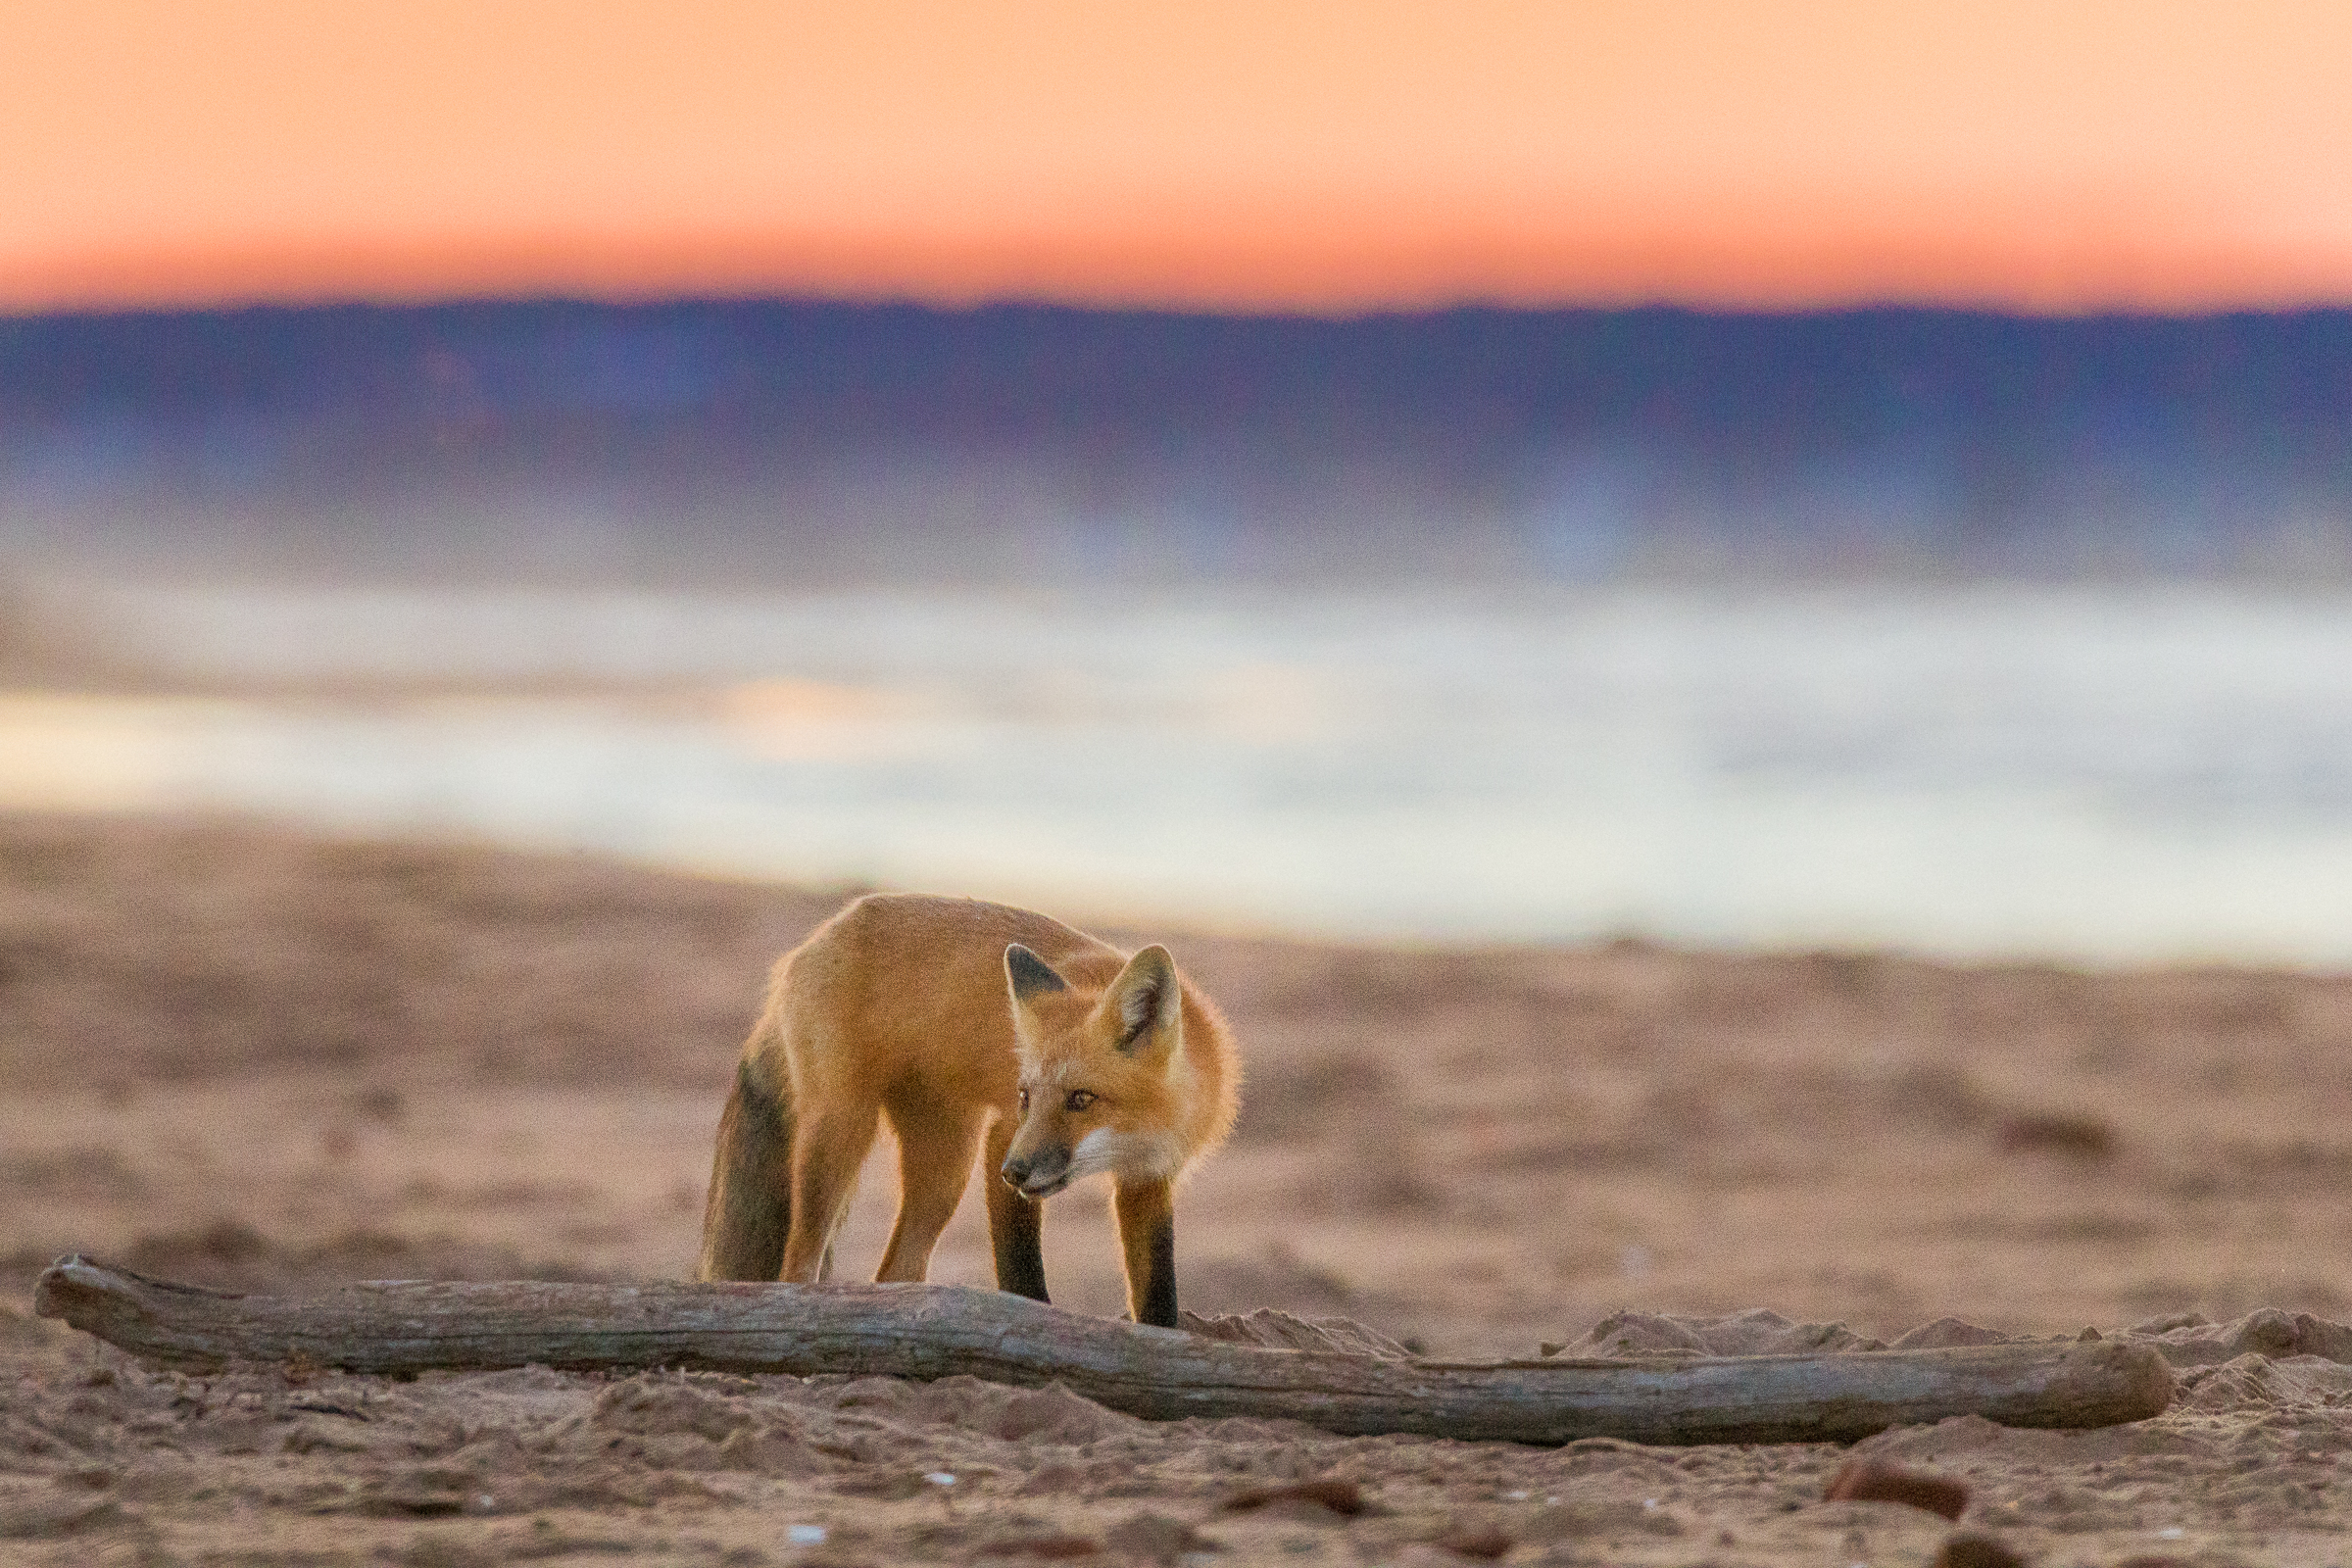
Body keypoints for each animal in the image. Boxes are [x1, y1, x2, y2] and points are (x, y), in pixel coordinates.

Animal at [696, 892, 1240, 1328]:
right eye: (1026, 1095)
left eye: (1082, 1098)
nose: (1015, 1172)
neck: (1147, 1131)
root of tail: (814, 939)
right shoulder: (1004, 1135)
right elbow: (1023, 1276)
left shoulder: (1148, 1179)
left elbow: (1159, 1293)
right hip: (842, 1135)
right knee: (797, 1266)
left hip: (945, 1169)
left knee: (895, 1273)